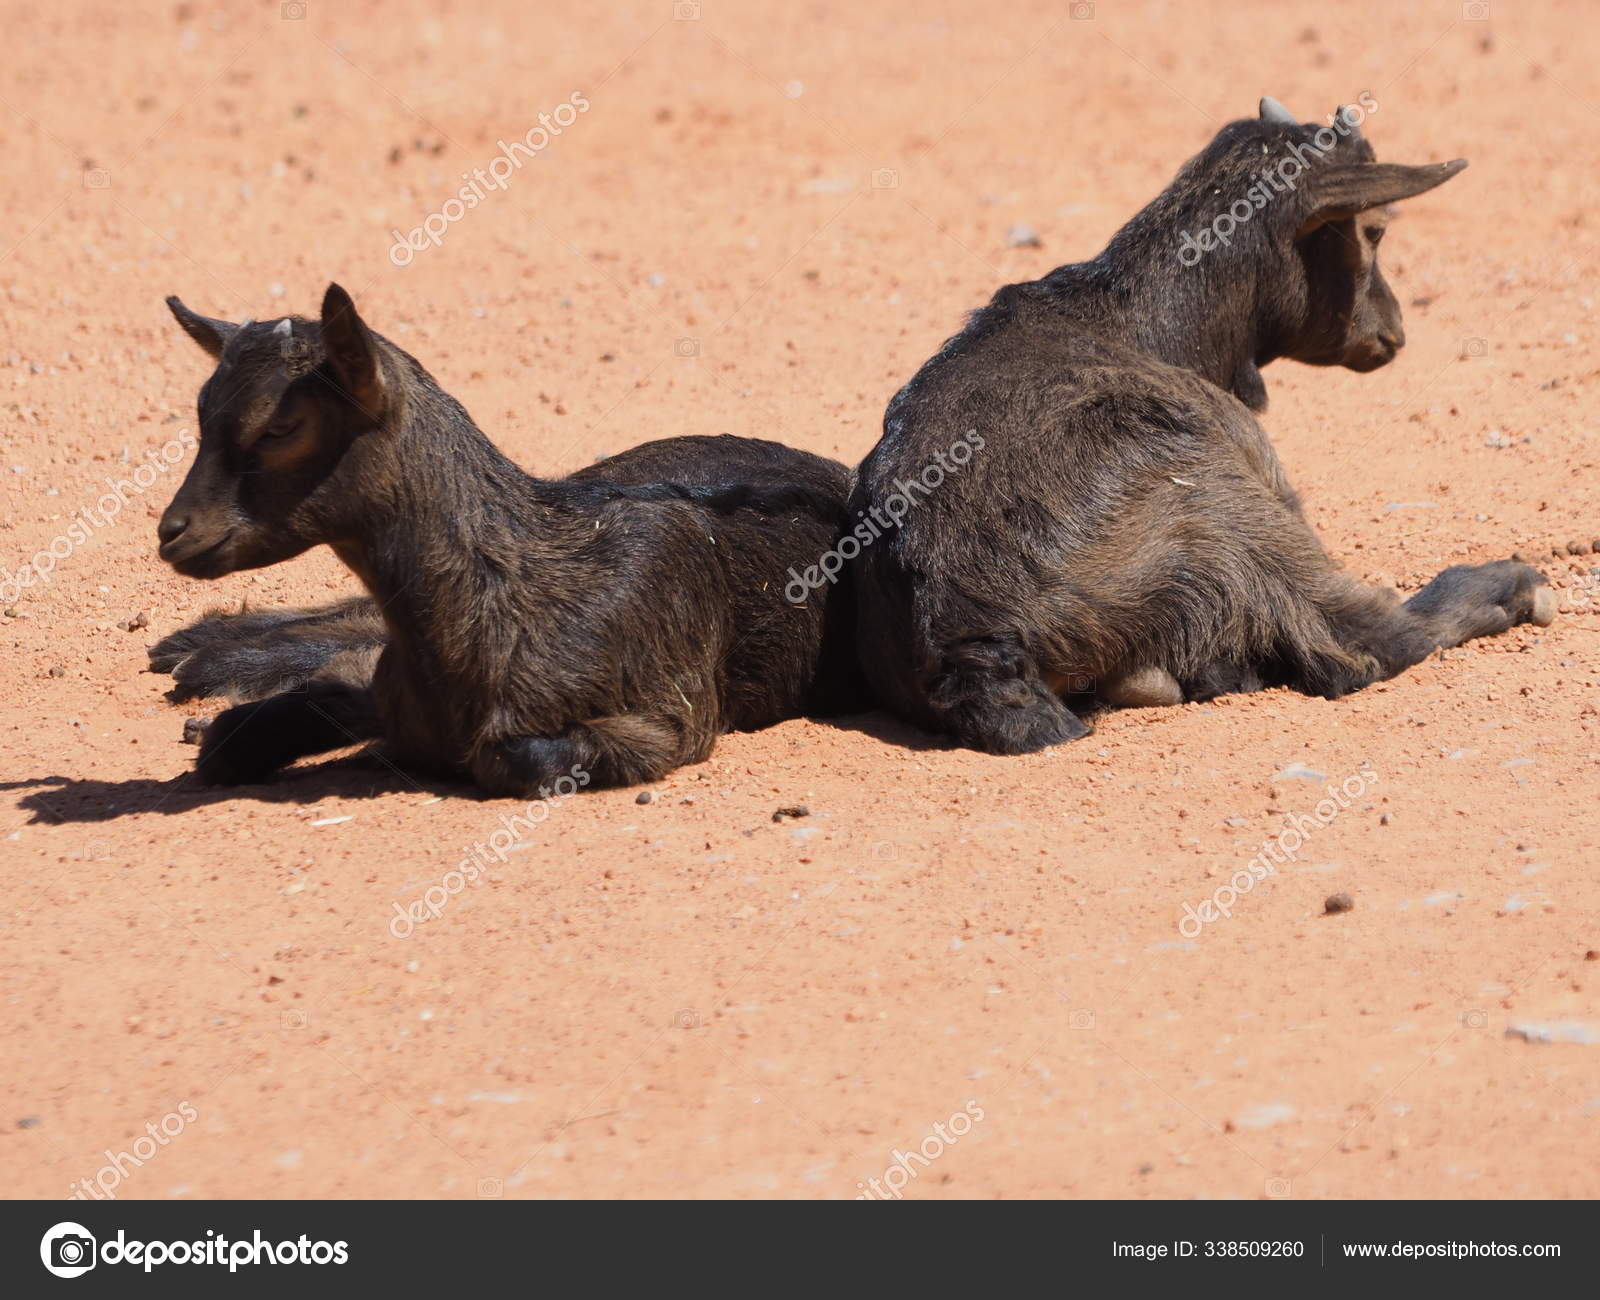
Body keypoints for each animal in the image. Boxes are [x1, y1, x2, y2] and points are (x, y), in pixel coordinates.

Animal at [155, 285, 865, 794]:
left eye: (282, 427)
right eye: (201, 415)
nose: (172, 533)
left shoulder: (671, 721)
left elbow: (513, 759)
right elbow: (242, 737)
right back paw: (195, 648)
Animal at [851, 98, 1555, 754]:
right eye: (1376, 229)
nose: (1393, 331)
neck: (1149, 321)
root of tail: (970, 645)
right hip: (1226, 509)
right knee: (1369, 640)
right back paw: (1516, 586)